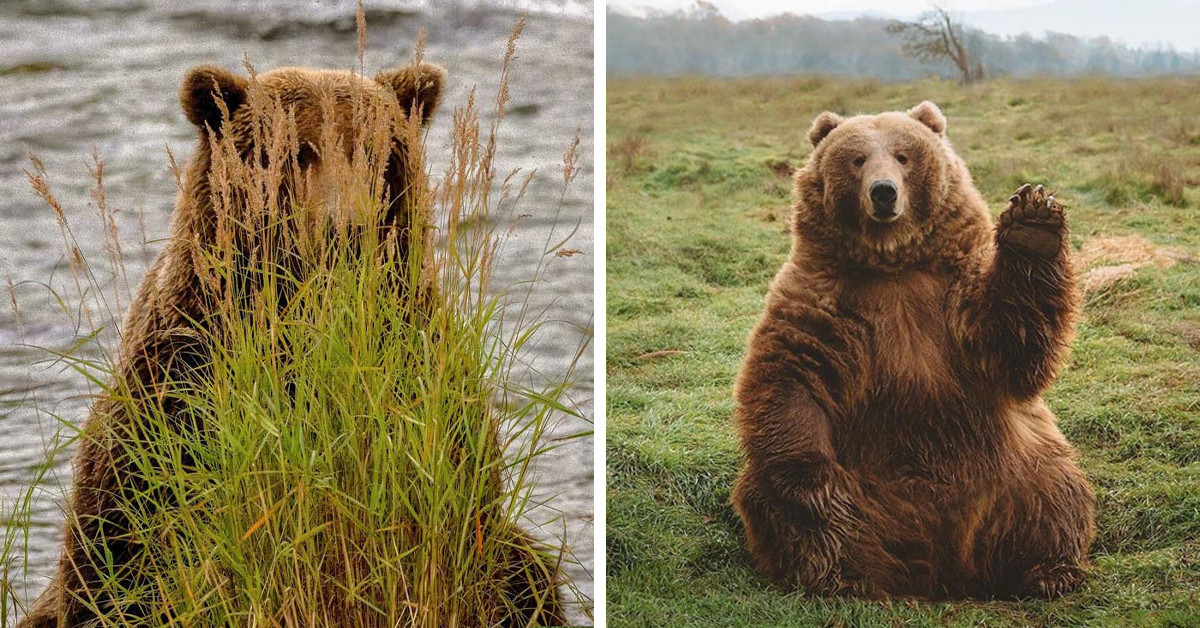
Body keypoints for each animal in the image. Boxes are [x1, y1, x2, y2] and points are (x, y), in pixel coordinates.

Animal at [20, 62, 564, 627]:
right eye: (298, 150)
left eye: (373, 149)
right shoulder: (177, 383)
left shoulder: (420, 370)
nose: (348, 228)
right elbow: (127, 529)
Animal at [731, 101, 1095, 600]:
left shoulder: (954, 298)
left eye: (903, 156)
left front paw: (1033, 222)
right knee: (792, 514)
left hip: (1013, 470)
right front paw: (812, 482)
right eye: (857, 159)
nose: (884, 193)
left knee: (1053, 492)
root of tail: (941, 566)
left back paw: (1047, 571)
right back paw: (844, 576)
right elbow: (790, 375)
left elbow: (1013, 342)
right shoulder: (822, 301)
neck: (893, 264)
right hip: (868, 489)